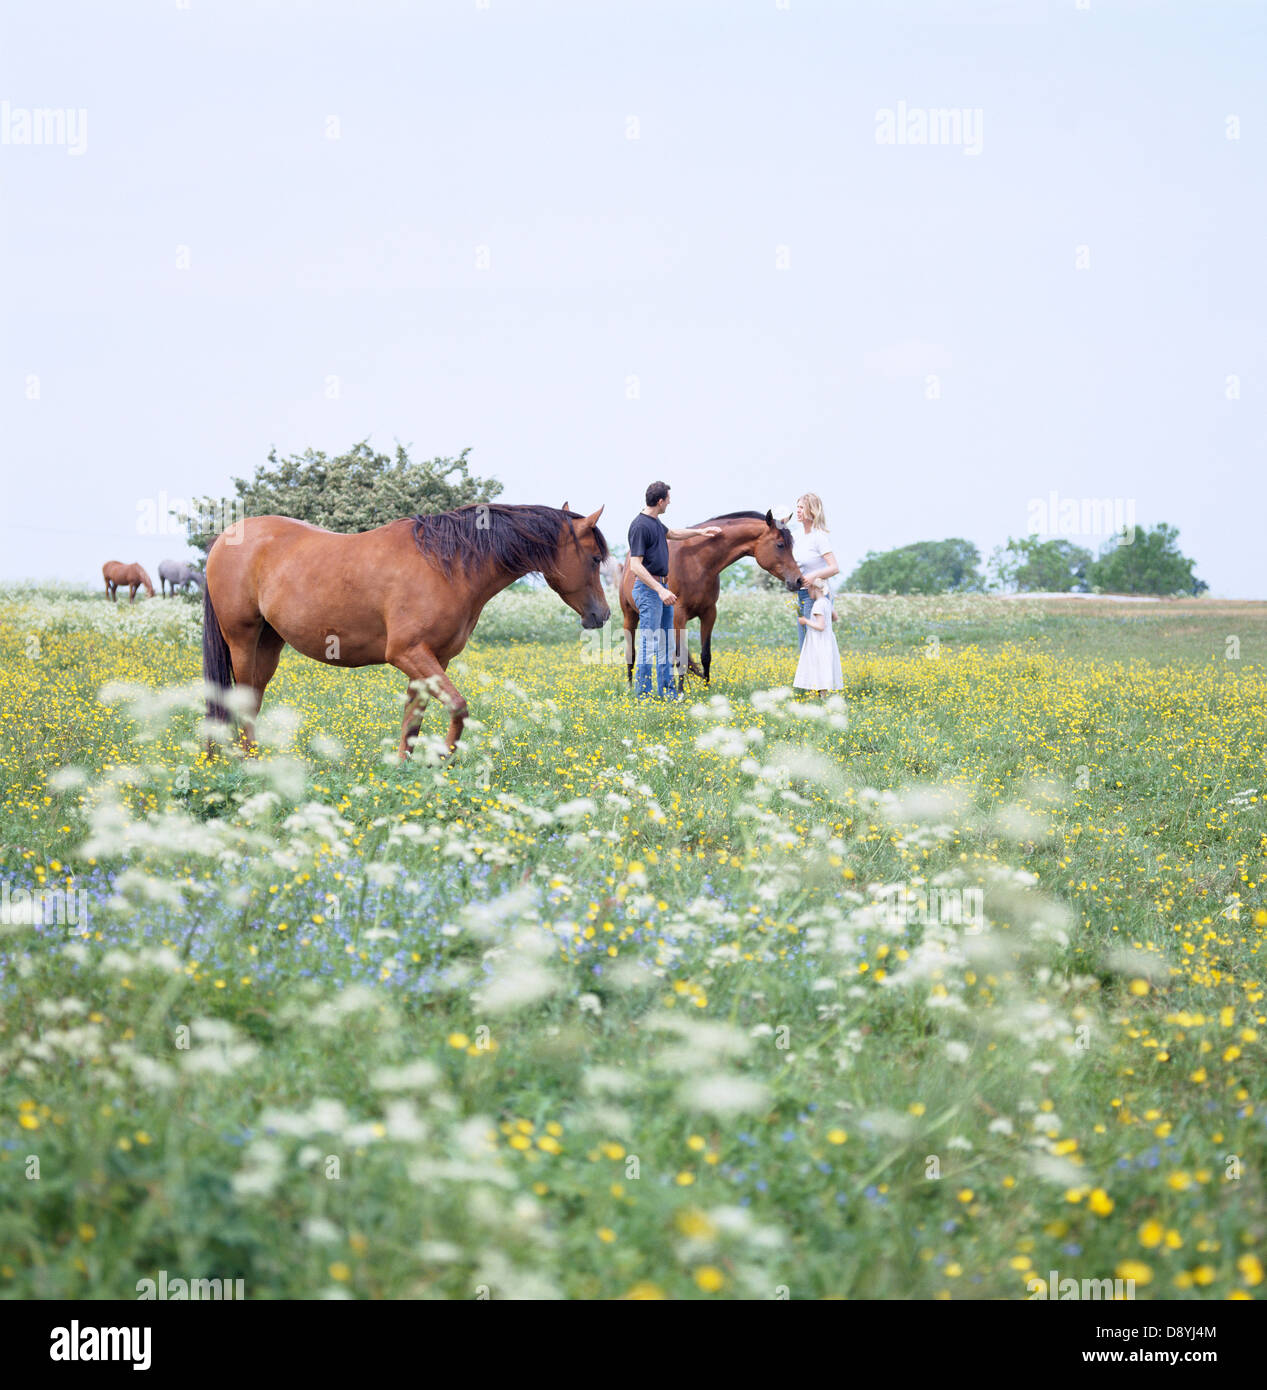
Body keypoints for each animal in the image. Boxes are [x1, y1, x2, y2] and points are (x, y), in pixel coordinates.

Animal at [202, 502, 609, 758]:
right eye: (594, 558)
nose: (601, 615)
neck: (447, 565)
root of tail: (226, 538)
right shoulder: (407, 653)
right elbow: (458, 707)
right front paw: (444, 759)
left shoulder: (432, 660)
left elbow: (412, 719)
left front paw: (403, 770)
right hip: (242, 638)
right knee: (239, 700)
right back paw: (248, 763)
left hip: (269, 643)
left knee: (252, 700)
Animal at [619, 510, 804, 689]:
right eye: (780, 545)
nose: (798, 580)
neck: (697, 562)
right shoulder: (679, 615)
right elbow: (680, 656)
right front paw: (681, 693)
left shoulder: (709, 613)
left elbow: (705, 655)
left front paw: (707, 689)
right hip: (630, 616)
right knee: (632, 652)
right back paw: (630, 687)